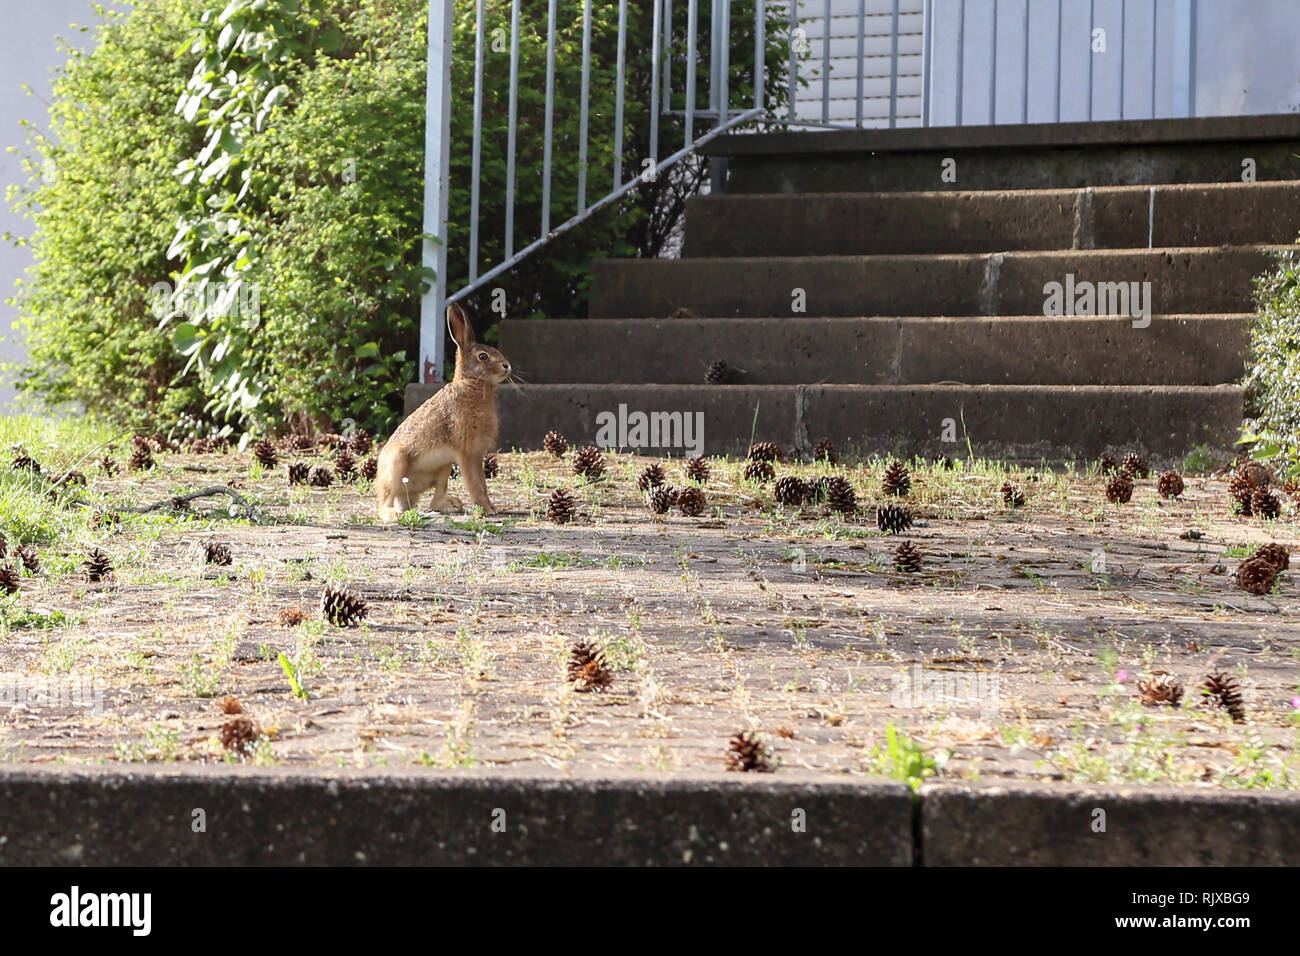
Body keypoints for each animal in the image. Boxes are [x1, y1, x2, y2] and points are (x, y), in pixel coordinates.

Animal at [375, 303, 511, 522]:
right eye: (483, 356)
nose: (506, 365)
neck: (471, 383)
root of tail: (407, 496)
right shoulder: (468, 452)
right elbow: (475, 483)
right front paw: (487, 509)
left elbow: (480, 483)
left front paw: (490, 507)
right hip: (396, 462)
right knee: (384, 500)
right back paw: (392, 514)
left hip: (443, 466)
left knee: (434, 500)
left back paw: (450, 504)